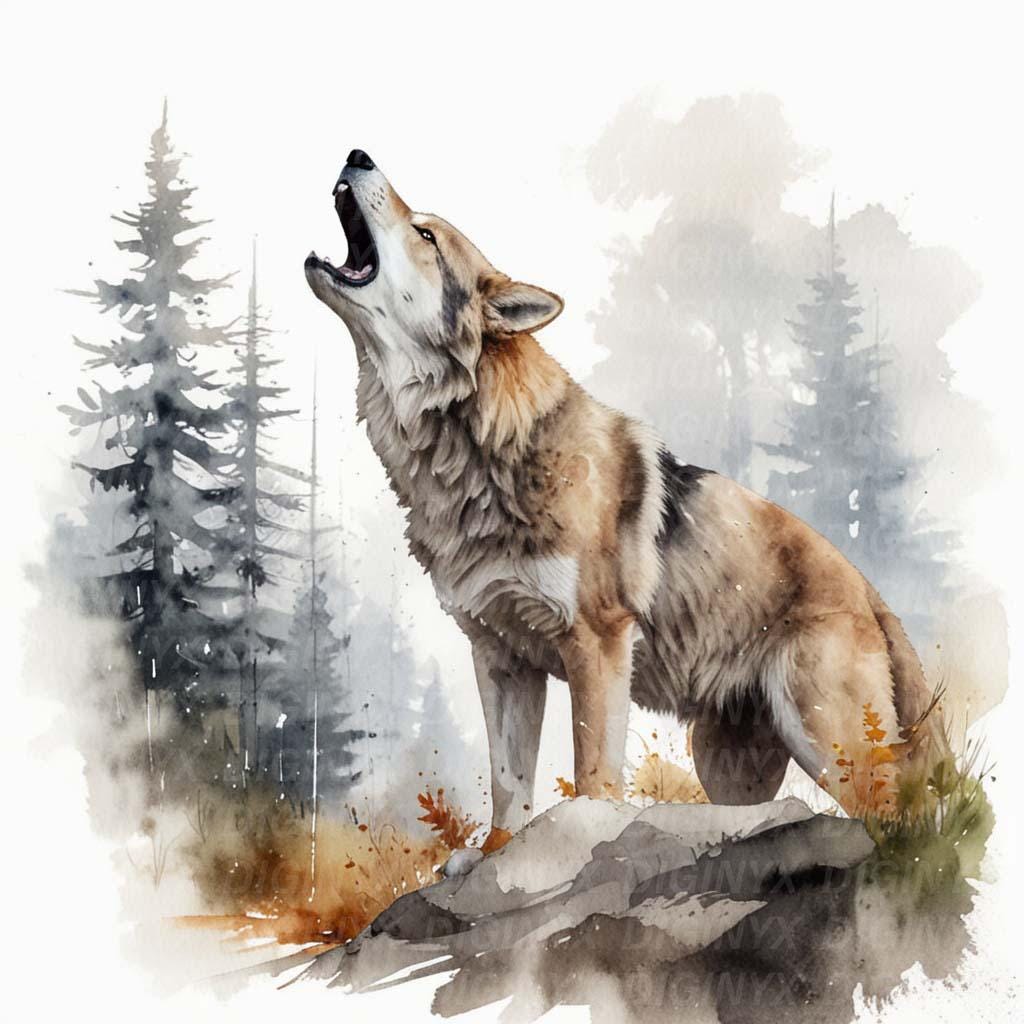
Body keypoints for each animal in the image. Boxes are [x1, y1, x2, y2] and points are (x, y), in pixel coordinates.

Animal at [305, 149, 946, 853]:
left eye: (425, 233)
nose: (358, 154)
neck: (482, 448)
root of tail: (871, 592)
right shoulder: (500, 657)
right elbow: (508, 783)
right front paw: (495, 856)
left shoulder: (597, 643)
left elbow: (592, 777)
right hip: (729, 768)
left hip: (830, 743)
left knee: (905, 827)